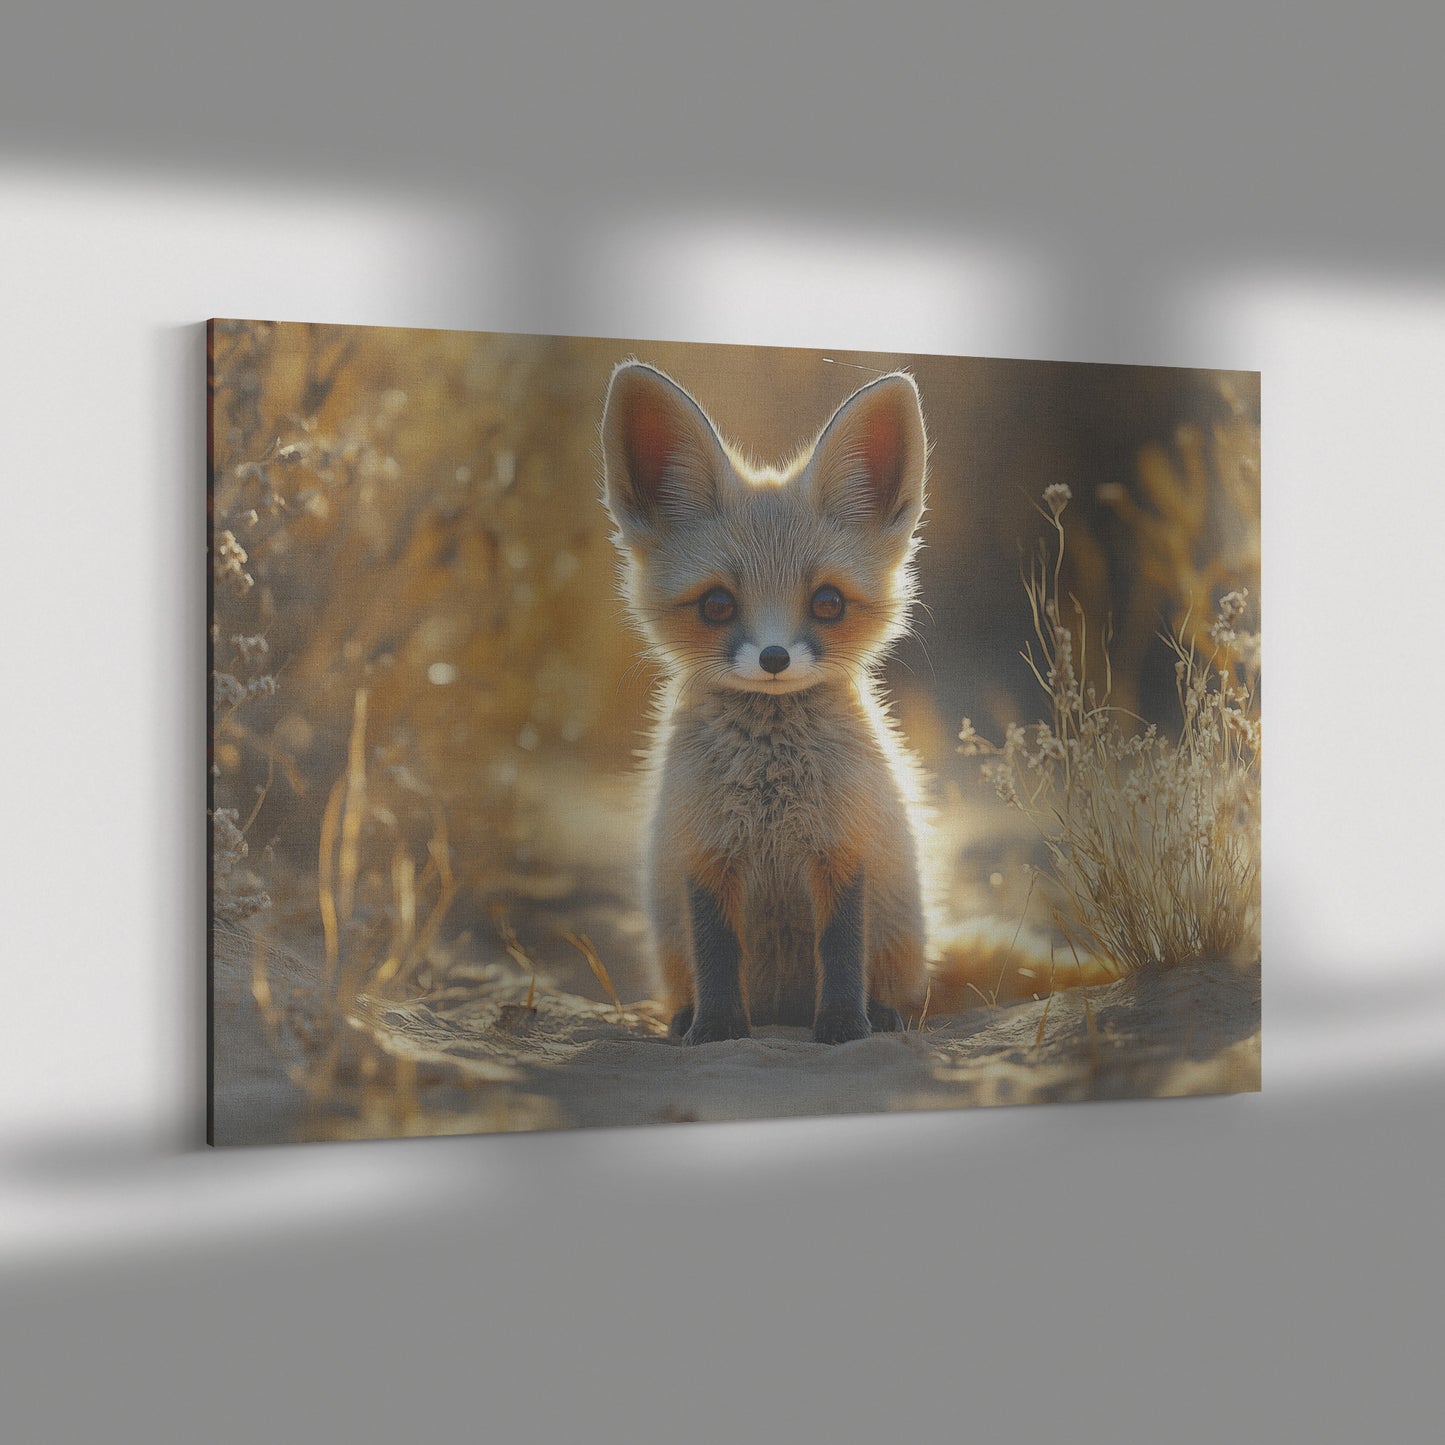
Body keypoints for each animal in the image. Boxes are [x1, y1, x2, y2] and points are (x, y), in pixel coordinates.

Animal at [601, 360, 935, 1045]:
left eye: (827, 602)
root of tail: (783, 1008)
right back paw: (684, 1016)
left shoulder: (843, 846)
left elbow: (841, 949)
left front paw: (844, 1025)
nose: (775, 658)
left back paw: (884, 1013)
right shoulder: (704, 849)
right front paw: (717, 1028)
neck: (770, 791)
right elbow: (715, 951)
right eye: (716, 605)